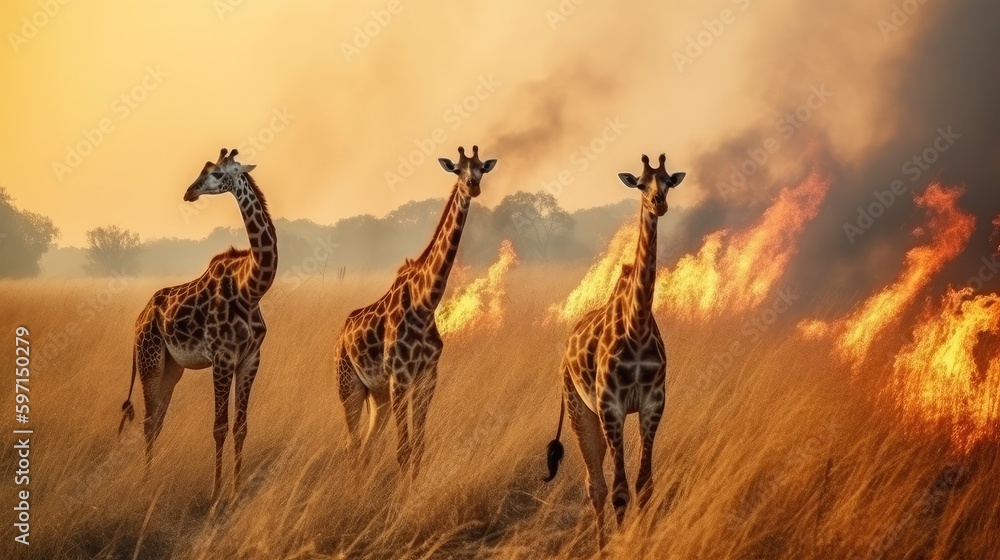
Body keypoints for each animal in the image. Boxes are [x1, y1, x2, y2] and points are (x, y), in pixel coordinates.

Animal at [118, 148, 277, 500]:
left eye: (217, 174)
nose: (189, 192)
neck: (251, 288)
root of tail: (138, 320)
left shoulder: (250, 359)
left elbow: (241, 426)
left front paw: (237, 487)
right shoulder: (222, 358)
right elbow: (219, 427)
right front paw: (217, 492)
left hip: (172, 367)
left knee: (158, 419)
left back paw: (151, 477)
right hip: (149, 359)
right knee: (148, 420)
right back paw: (144, 483)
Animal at [335, 145, 497, 478]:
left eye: (481, 169)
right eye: (457, 169)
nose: (472, 186)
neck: (425, 303)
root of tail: (341, 335)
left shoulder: (427, 377)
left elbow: (419, 448)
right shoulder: (400, 377)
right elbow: (403, 450)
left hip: (378, 395)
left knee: (365, 444)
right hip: (349, 386)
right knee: (352, 443)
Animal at [544, 154, 685, 547]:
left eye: (668, 181)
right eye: (640, 184)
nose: (659, 203)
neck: (636, 325)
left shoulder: (653, 403)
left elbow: (644, 485)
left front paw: (645, 539)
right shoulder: (612, 407)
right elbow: (620, 490)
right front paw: (623, 543)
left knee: (602, 482)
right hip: (580, 410)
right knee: (596, 484)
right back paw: (602, 545)